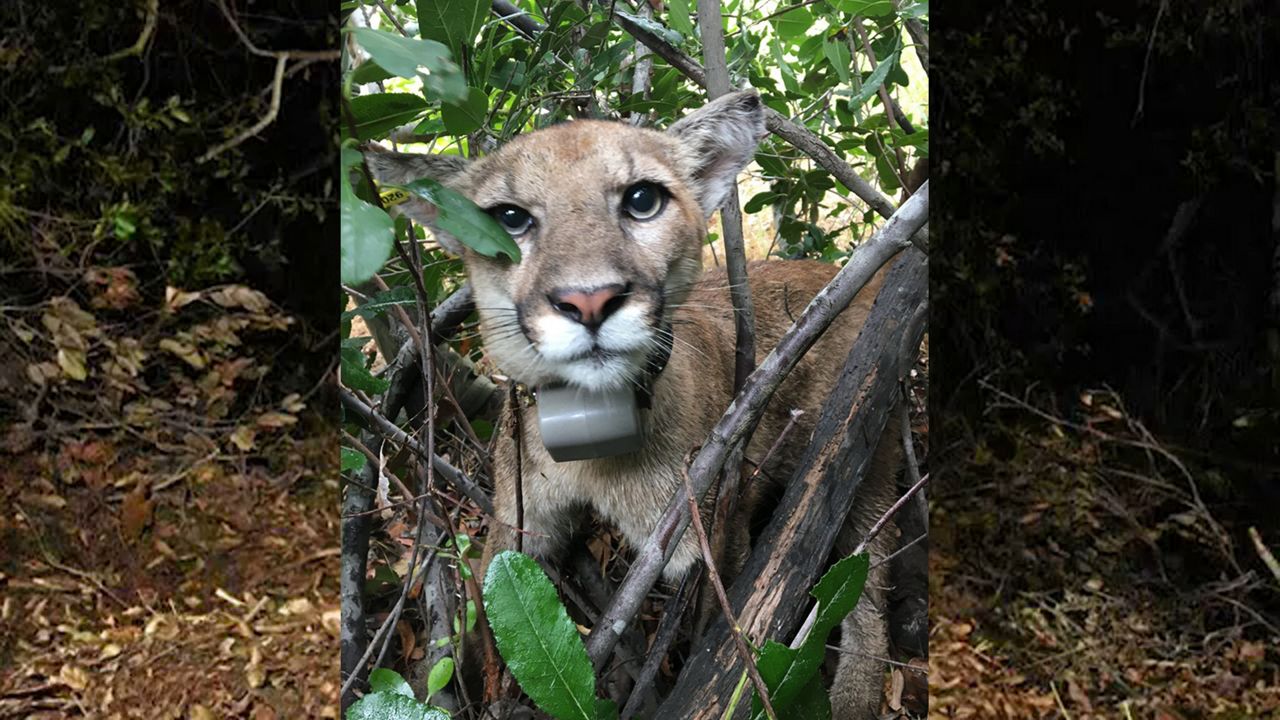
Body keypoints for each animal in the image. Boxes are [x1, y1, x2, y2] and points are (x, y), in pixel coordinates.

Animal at [366, 92, 906, 712]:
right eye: (509, 218)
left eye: (642, 200)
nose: (589, 300)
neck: (594, 447)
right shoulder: (519, 524)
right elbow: (480, 602)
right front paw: (449, 684)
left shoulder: (711, 537)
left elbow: (720, 640)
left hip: (862, 446)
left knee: (869, 579)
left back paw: (854, 696)